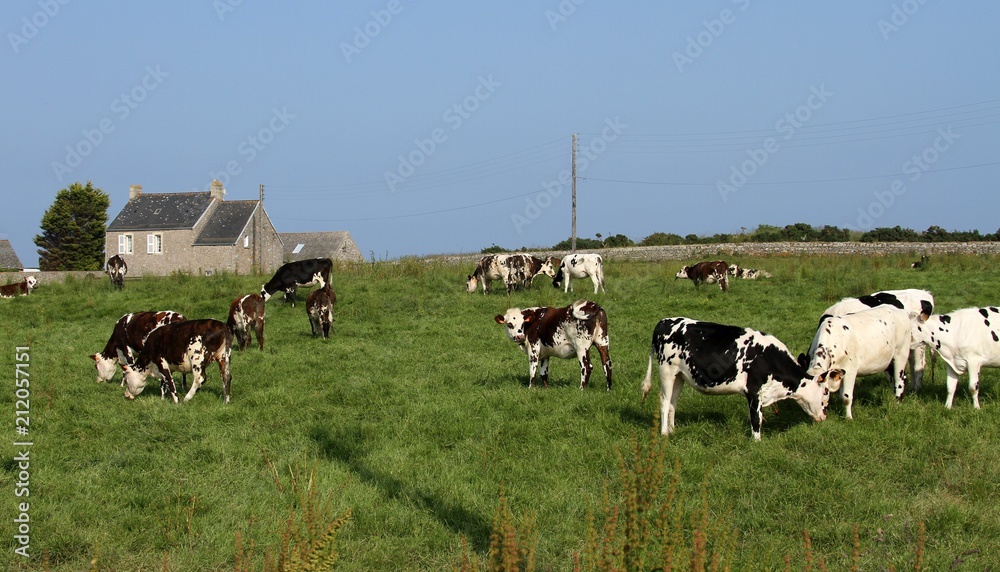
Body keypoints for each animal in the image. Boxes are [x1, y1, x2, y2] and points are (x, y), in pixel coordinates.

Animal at [640, 317, 828, 441]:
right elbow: (756, 418)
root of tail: (664, 321)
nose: (824, 417)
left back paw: (672, 430)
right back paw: (664, 433)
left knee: (673, 402)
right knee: (664, 401)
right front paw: (757, 442)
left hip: (679, 376)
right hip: (667, 370)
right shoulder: (753, 390)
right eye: (825, 393)